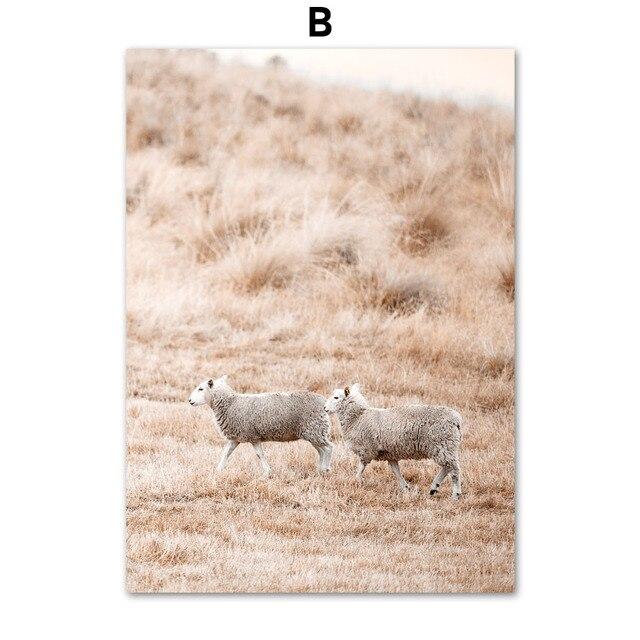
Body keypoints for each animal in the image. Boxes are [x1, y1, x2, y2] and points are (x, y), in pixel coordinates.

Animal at [188, 376, 333, 477]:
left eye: (201, 389)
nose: (189, 401)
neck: (230, 404)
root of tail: (323, 402)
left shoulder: (252, 436)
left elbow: (259, 455)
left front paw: (267, 472)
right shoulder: (235, 437)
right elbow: (226, 453)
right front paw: (218, 470)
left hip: (315, 429)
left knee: (329, 448)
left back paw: (325, 469)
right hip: (314, 432)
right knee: (321, 450)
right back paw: (320, 469)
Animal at [324, 384, 463, 499]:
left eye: (336, 397)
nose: (325, 408)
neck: (358, 417)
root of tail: (457, 420)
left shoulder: (367, 449)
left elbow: (361, 467)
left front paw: (355, 480)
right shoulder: (390, 453)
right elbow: (396, 470)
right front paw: (405, 488)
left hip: (443, 444)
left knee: (454, 469)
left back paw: (455, 494)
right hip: (444, 447)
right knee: (447, 467)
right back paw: (434, 488)